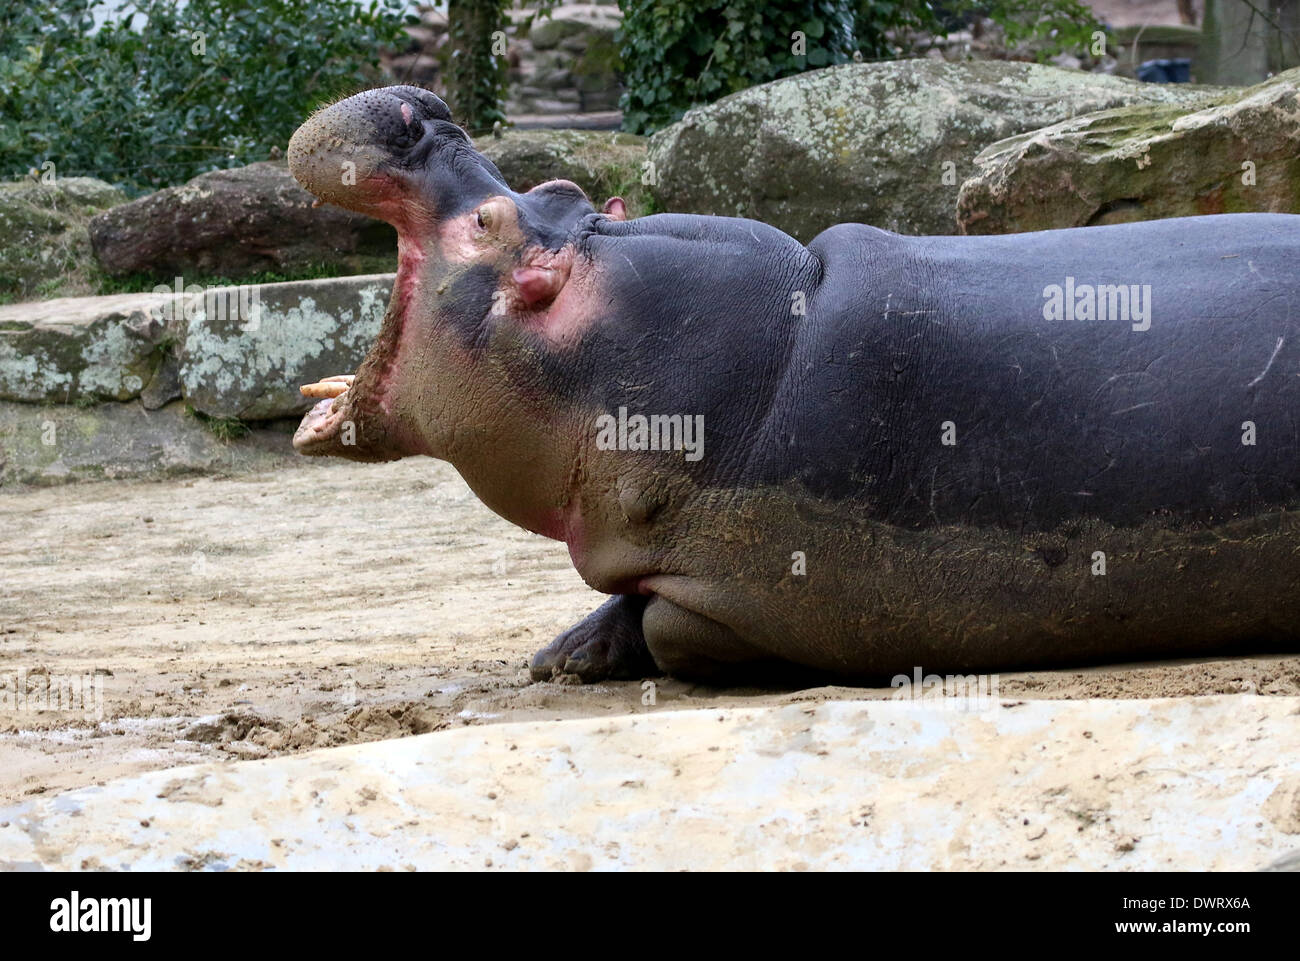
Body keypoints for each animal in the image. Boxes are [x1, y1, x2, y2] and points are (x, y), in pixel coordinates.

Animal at [287, 85, 1300, 683]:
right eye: (561, 187)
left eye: (489, 221)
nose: (421, 109)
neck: (779, 335)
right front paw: (560, 655)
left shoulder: (745, 593)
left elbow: (662, 620)